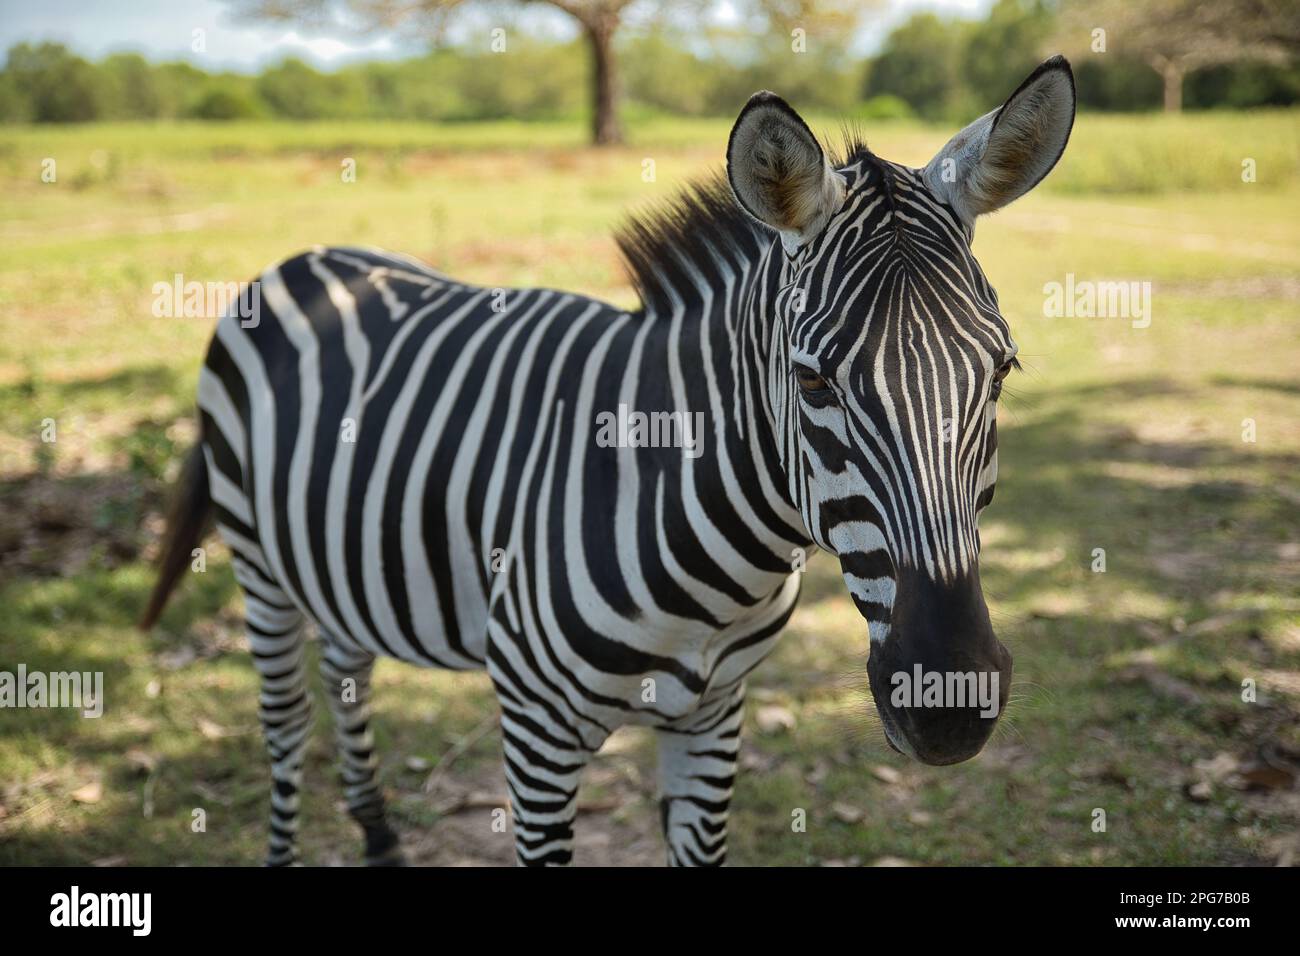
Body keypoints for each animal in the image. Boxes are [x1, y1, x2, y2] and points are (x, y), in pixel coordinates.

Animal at [141, 56, 1076, 866]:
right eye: (812, 380)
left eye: (1002, 371)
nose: (947, 702)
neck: (717, 561)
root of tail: (298, 261)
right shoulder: (535, 731)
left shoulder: (712, 717)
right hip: (258, 565)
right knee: (285, 722)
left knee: (346, 670)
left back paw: (376, 834)